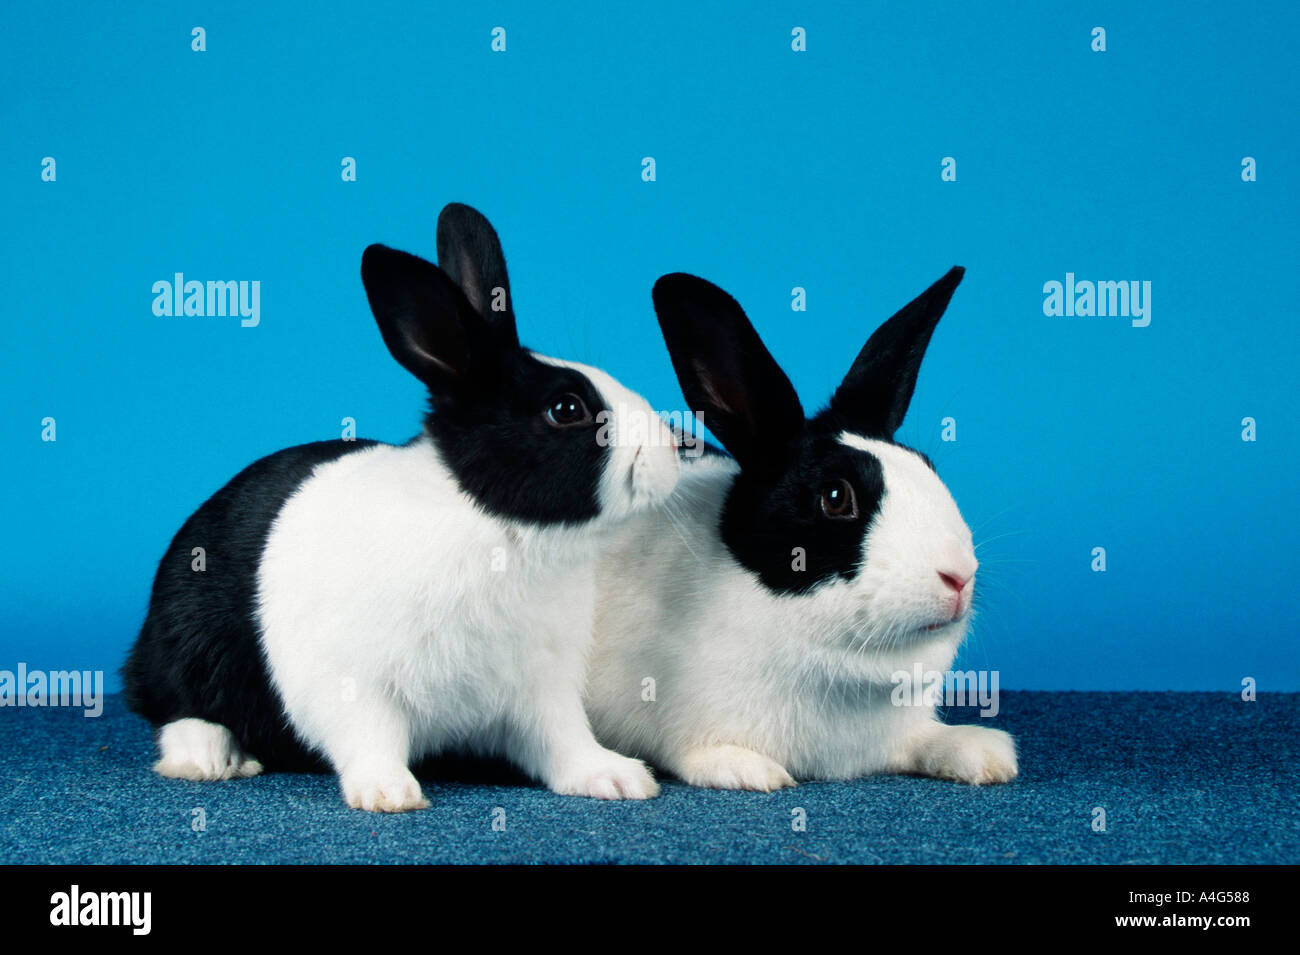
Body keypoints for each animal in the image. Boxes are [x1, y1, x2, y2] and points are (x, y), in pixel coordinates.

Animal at [123, 203, 680, 811]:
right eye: (567, 409)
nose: (673, 451)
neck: (501, 533)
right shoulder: (352, 683)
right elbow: (370, 735)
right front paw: (389, 793)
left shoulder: (542, 689)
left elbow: (562, 741)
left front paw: (617, 778)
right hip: (186, 645)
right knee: (174, 708)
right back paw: (209, 759)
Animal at [586, 266, 1018, 791]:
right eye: (835, 497)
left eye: (927, 466)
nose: (959, 576)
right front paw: (750, 769)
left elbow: (927, 741)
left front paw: (985, 754)